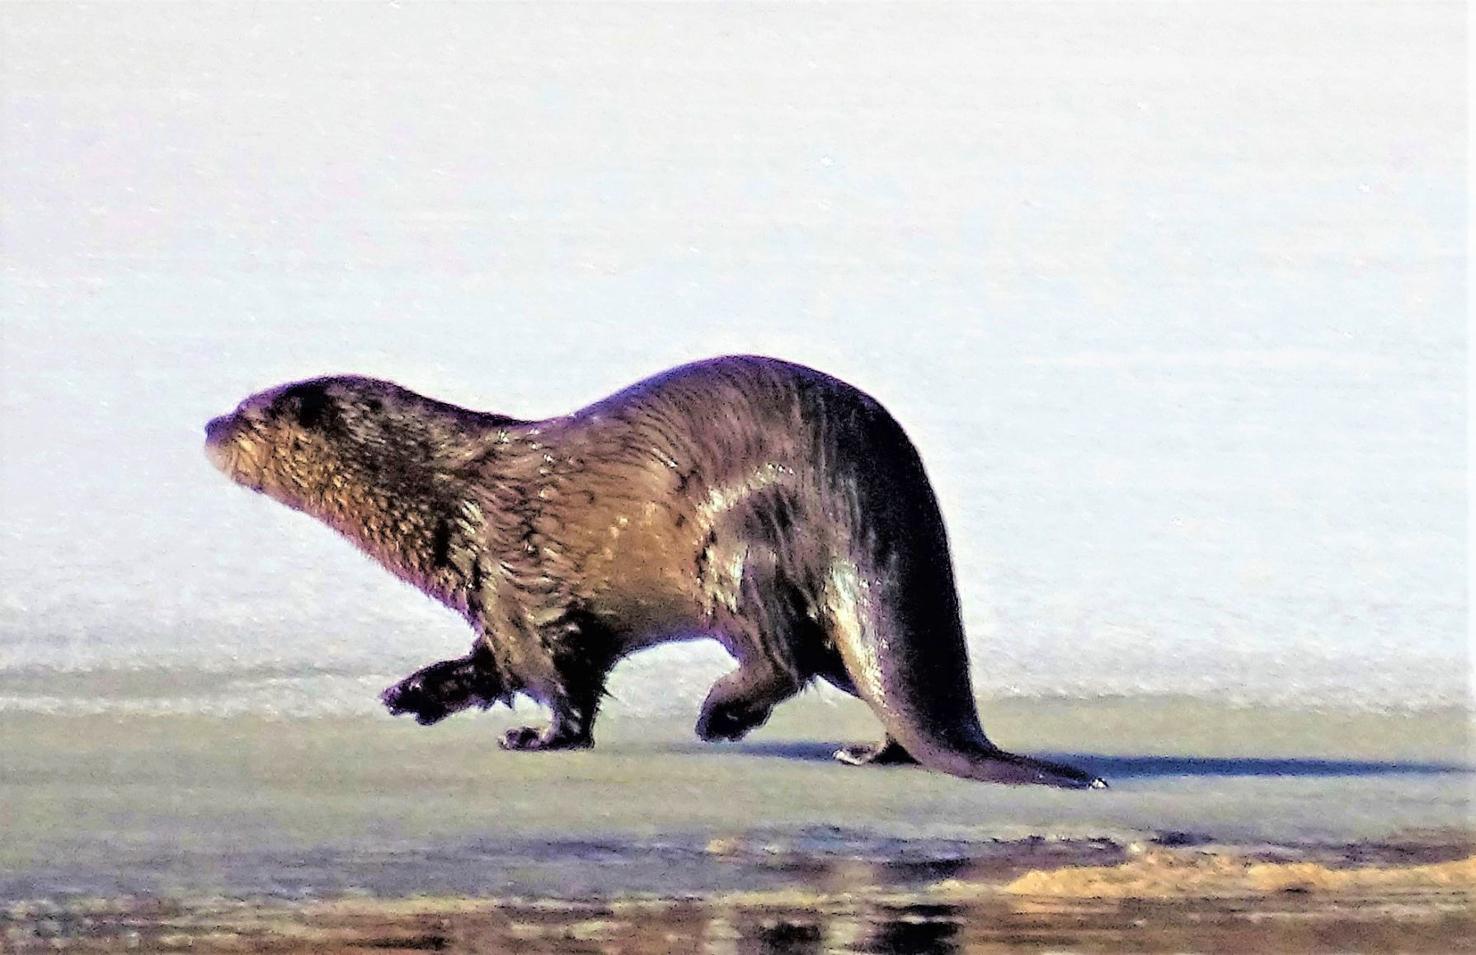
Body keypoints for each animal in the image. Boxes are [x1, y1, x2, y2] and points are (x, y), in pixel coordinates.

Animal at [204, 355, 1104, 789]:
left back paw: (720, 716)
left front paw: (538, 738)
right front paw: (413, 692)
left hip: (738, 545)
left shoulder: (521, 583)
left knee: (780, 654)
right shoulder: (492, 600)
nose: (208, 423)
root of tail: (862, 490)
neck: (453, 497)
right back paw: (870, 750)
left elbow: (556, 679)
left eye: (250, 413)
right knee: (879, 678)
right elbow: (486, 664)